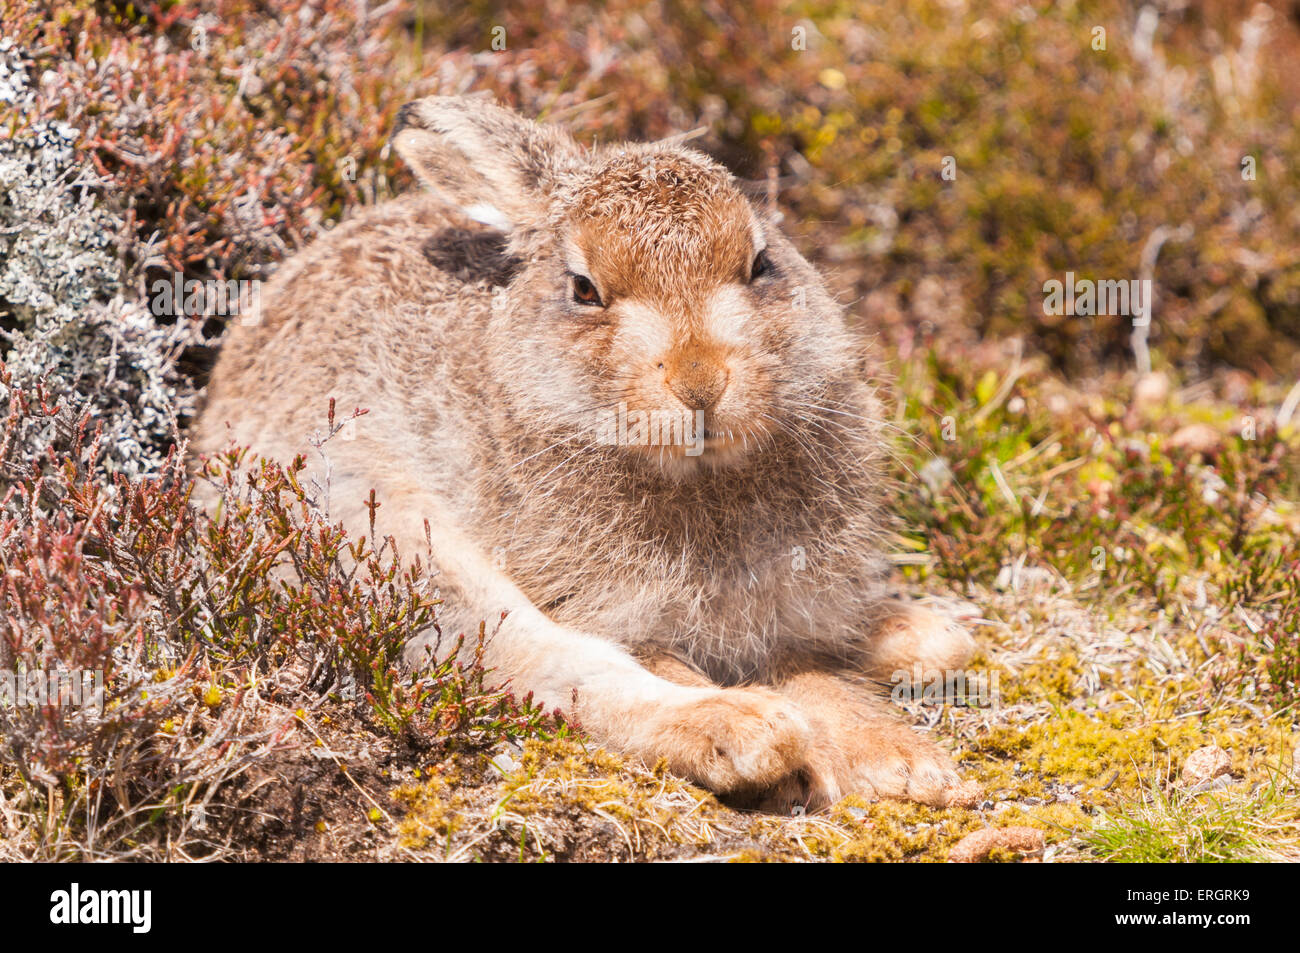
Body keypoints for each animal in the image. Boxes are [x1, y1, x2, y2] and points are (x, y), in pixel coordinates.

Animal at [192, 95, 979, 811]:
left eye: (761, 264)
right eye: (584, 289)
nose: (700, 383)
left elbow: (809, 665)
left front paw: (908, 762)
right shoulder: (607, 605)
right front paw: (864, 759)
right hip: (380, 531)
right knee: (541, 661)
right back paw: (744, 735)